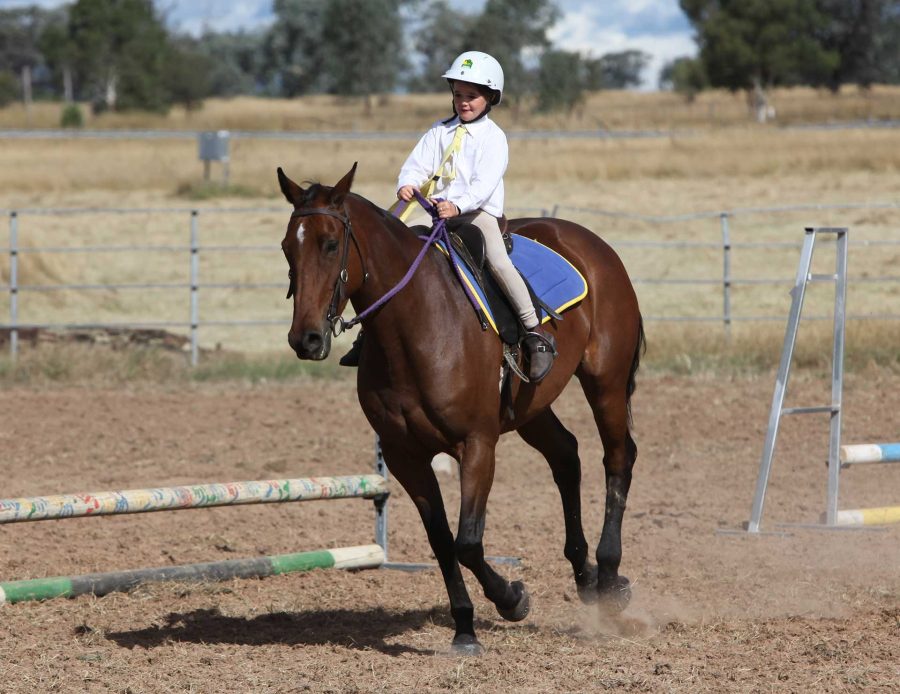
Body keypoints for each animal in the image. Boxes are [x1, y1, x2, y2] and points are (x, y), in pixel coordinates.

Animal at [277, 163, 645, 655]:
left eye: (331, 244)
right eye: (287, 247)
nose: (306, 339)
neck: (414, 327)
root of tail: (591, 243)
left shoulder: (477, 444)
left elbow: (468, 541)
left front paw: (512, 598)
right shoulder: (405, 455)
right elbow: (442, 541)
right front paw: (465, 627)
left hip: (605, 383)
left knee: (618, 457)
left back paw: (609, 578)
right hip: (531, 407)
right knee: (567, 456)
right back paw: (585, 577)